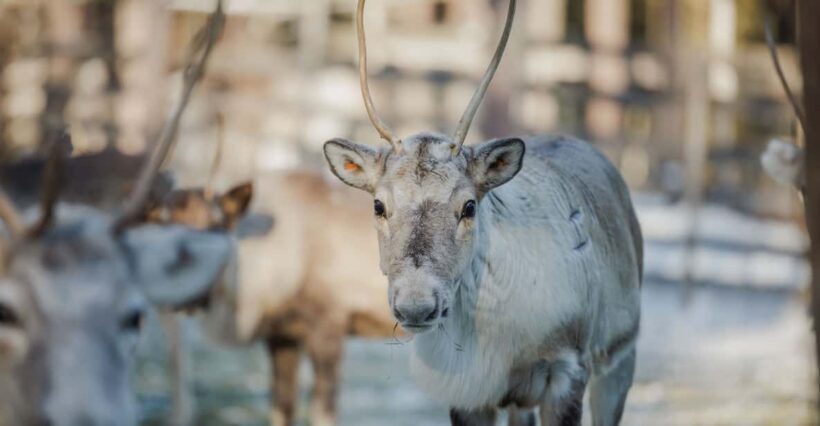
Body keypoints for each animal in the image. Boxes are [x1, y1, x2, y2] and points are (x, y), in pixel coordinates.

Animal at [146, 169, 400, 426]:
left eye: (216, 225)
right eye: (163, 226)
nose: (185, 296)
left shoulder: (327, 327)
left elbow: (322, 413)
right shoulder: (283, 335)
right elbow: (282, 407)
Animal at [320, 0, 643, 425]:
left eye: (469, 205)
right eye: (378, 204)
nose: (416, 304)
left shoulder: (570, 369)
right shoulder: (467, 391)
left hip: (620, 358)